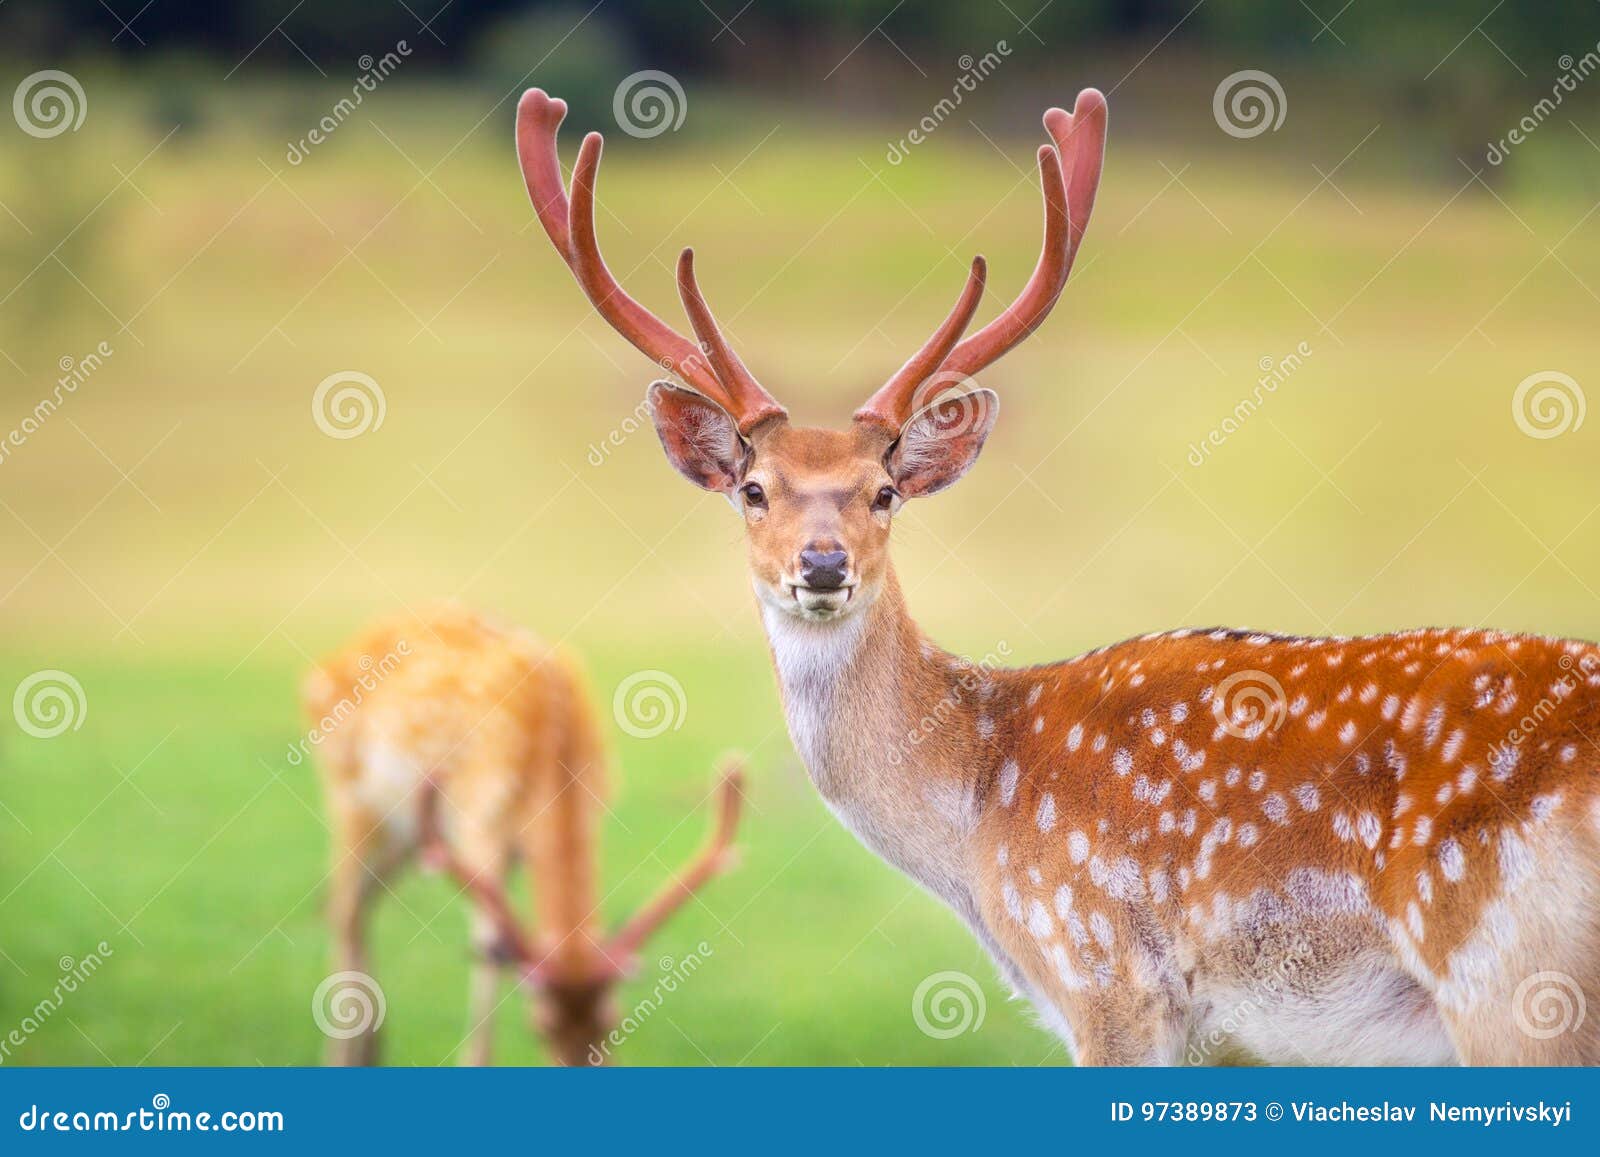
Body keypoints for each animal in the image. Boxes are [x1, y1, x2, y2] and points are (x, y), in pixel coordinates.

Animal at [302, 603, 744, 1067]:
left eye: (612, 1021)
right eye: (541, 1027)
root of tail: (324, 666)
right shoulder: (479, 820)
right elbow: (488, 946)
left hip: (404, 835)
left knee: (362, 905)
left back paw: (372, 1050)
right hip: (347, 795)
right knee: (345, 910)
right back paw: (341, 1056)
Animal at [514, 86, 1600, 1066]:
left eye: (882, 492)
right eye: (751, 488)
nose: (820, 563)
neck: (977, 826)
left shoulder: (1102, 968)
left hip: (1513, 981)